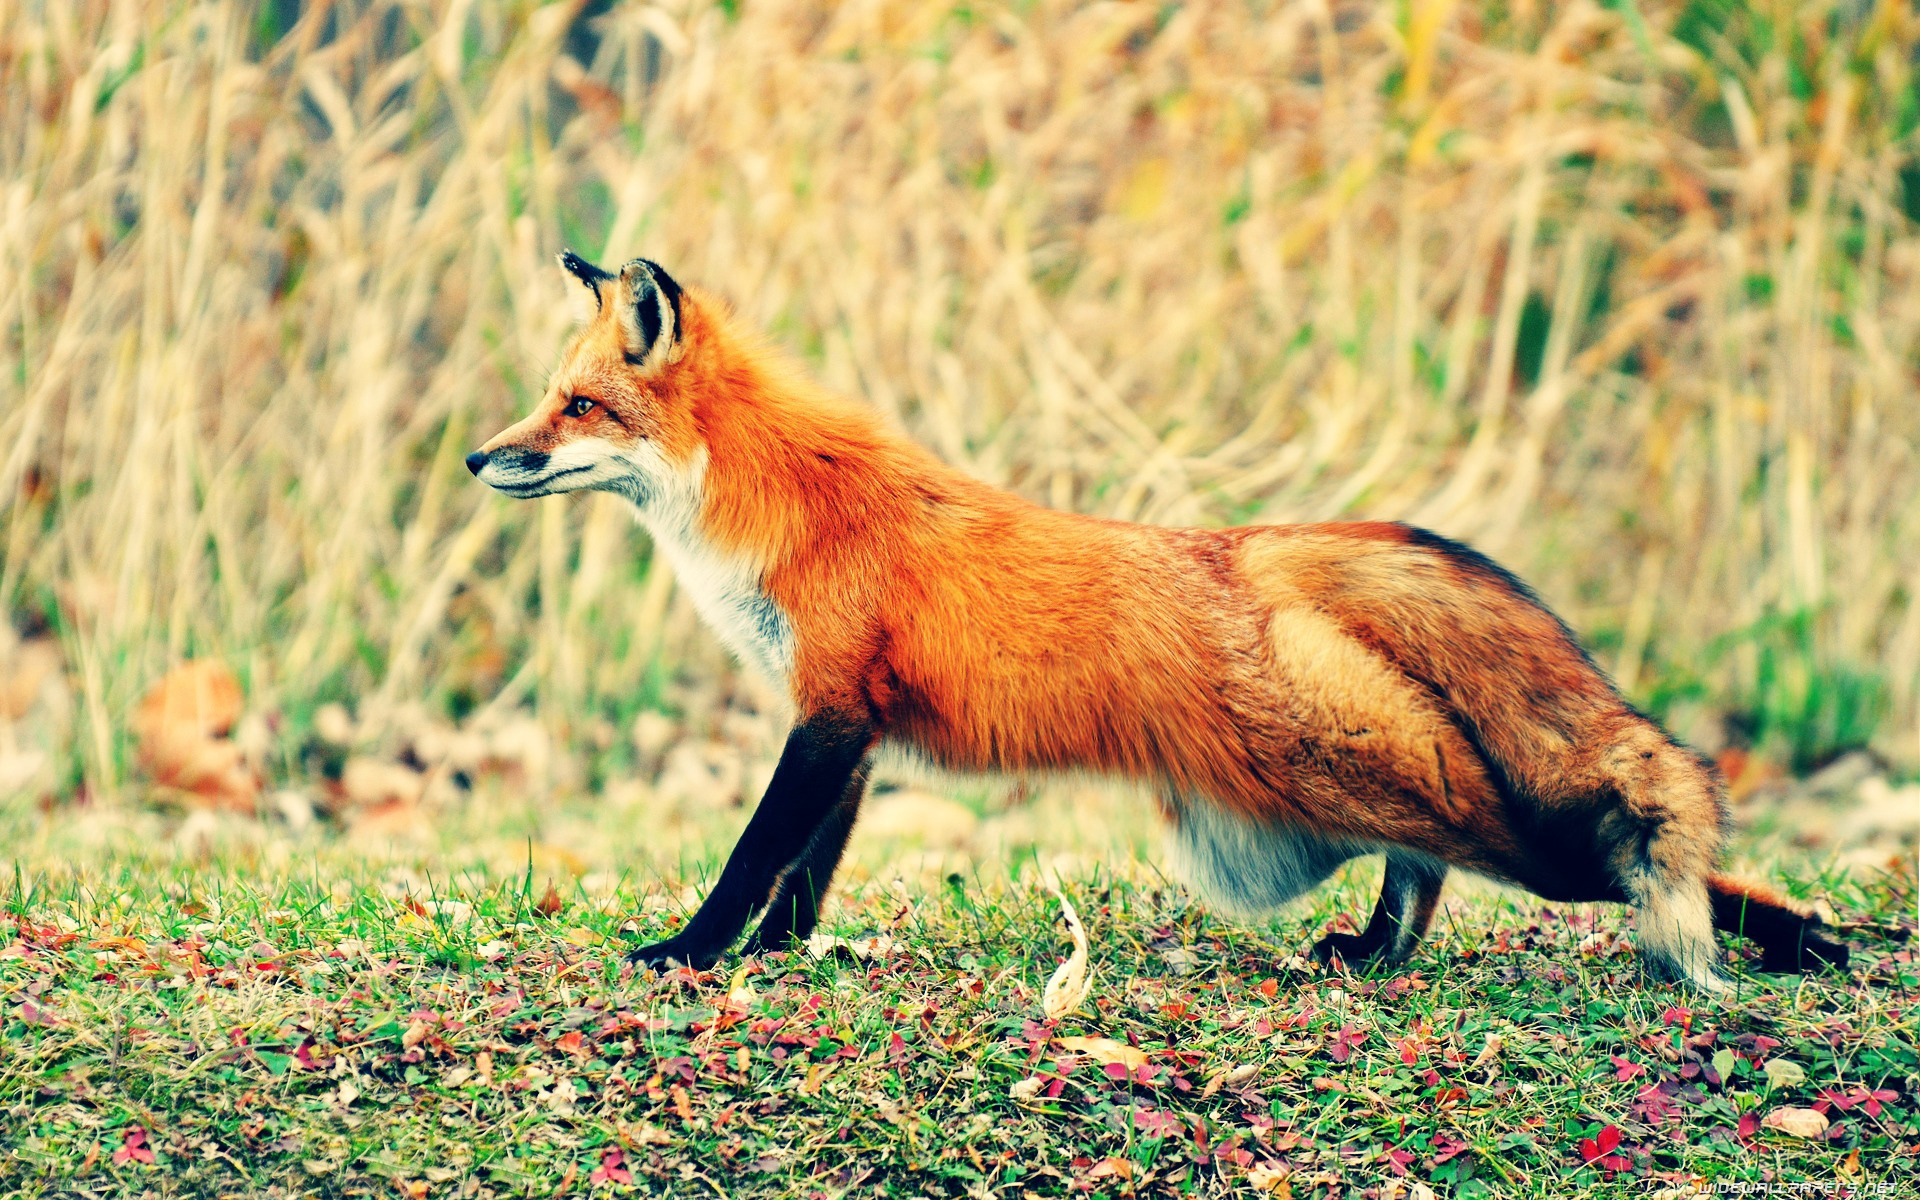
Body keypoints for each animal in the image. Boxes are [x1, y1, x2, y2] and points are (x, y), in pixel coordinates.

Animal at [465, 251, 1850, 991]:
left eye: (578, 406)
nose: (482, 456)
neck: (775, 513)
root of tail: (1254, 551)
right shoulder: (850, 727)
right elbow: (803, 879)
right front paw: (775, 963)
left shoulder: (828, 715)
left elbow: (754, 857)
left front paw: (688, 956)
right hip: (1317, 805)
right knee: (1439, 862)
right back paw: (1380, 953)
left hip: (1336, 781)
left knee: (1581, 854)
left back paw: (1810, 938)